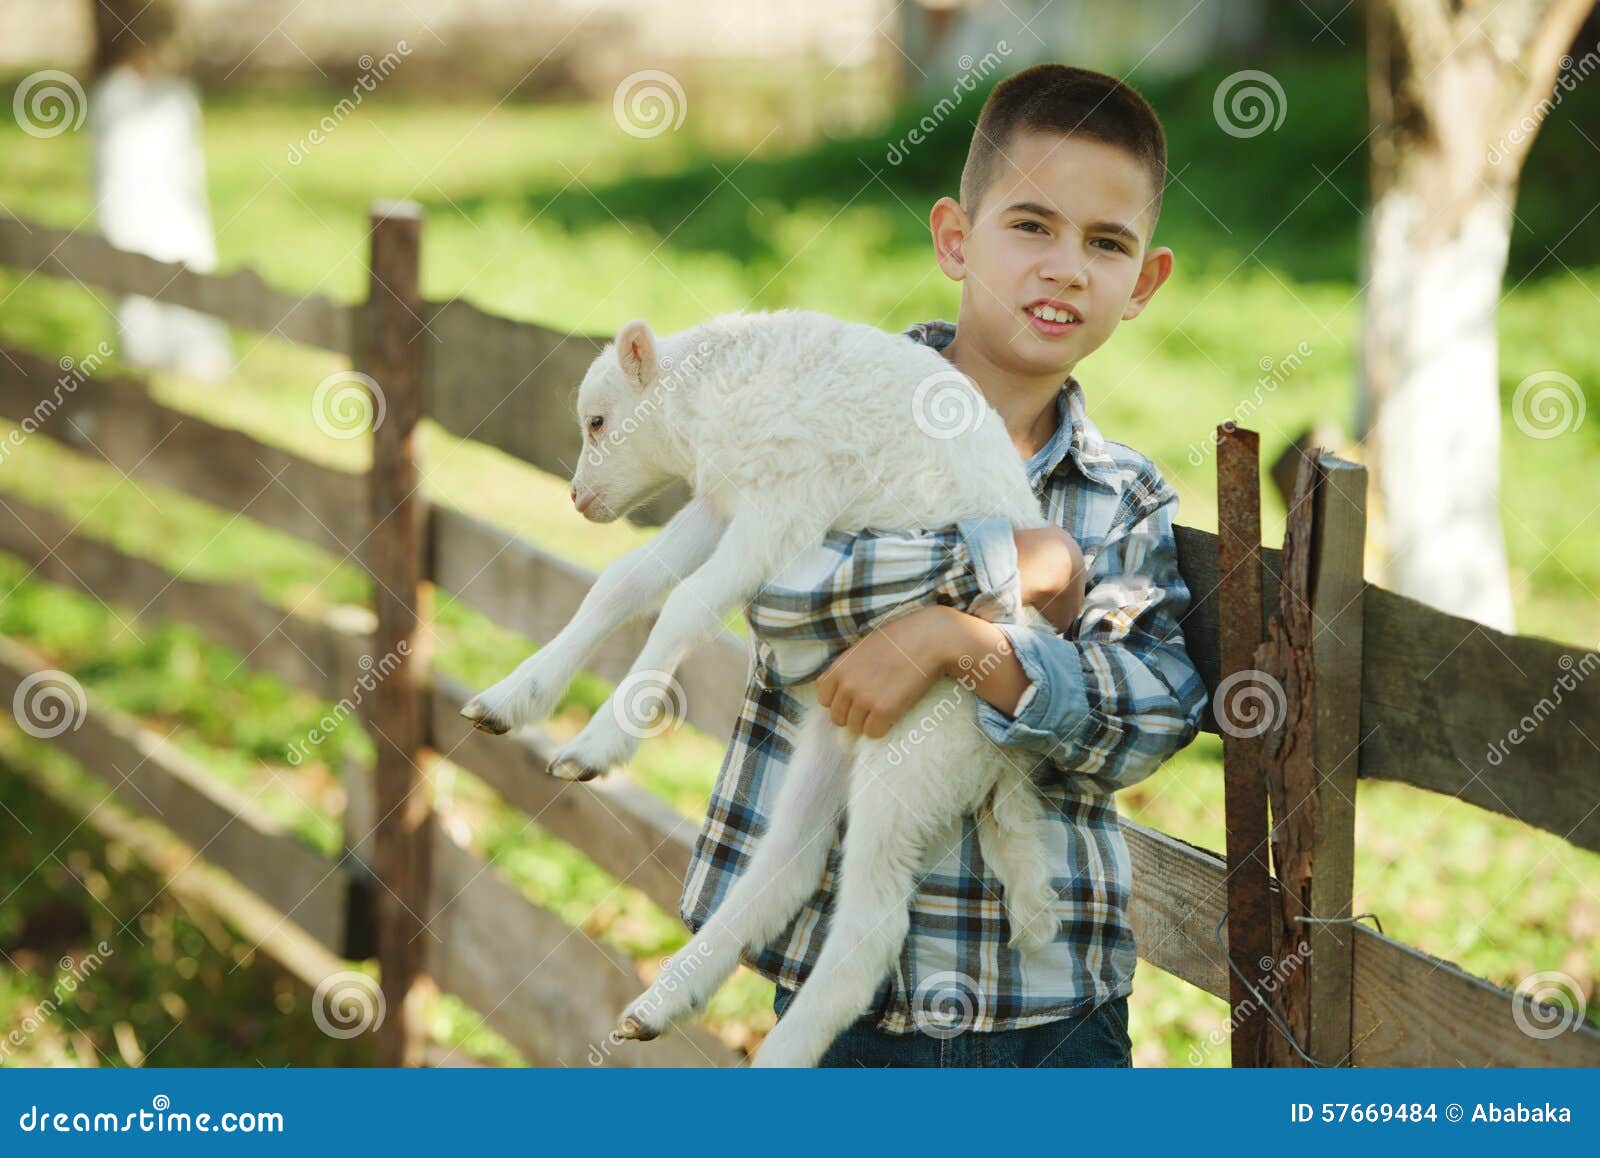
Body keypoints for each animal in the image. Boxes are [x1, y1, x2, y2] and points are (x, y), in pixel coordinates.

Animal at [460, 308, 1067, 1067]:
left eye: (598, 422)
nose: (578, 499)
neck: (717, 395)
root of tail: (1011, 758)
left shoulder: (786, 505)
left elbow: (685, 604)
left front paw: (601, 740)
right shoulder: (723, 502)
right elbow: (625, 581)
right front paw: (514, 698)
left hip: (918, 754)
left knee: (869, 929)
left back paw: (777, 1048)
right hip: (838, 741)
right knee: (790, 864)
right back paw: (664, 1000)